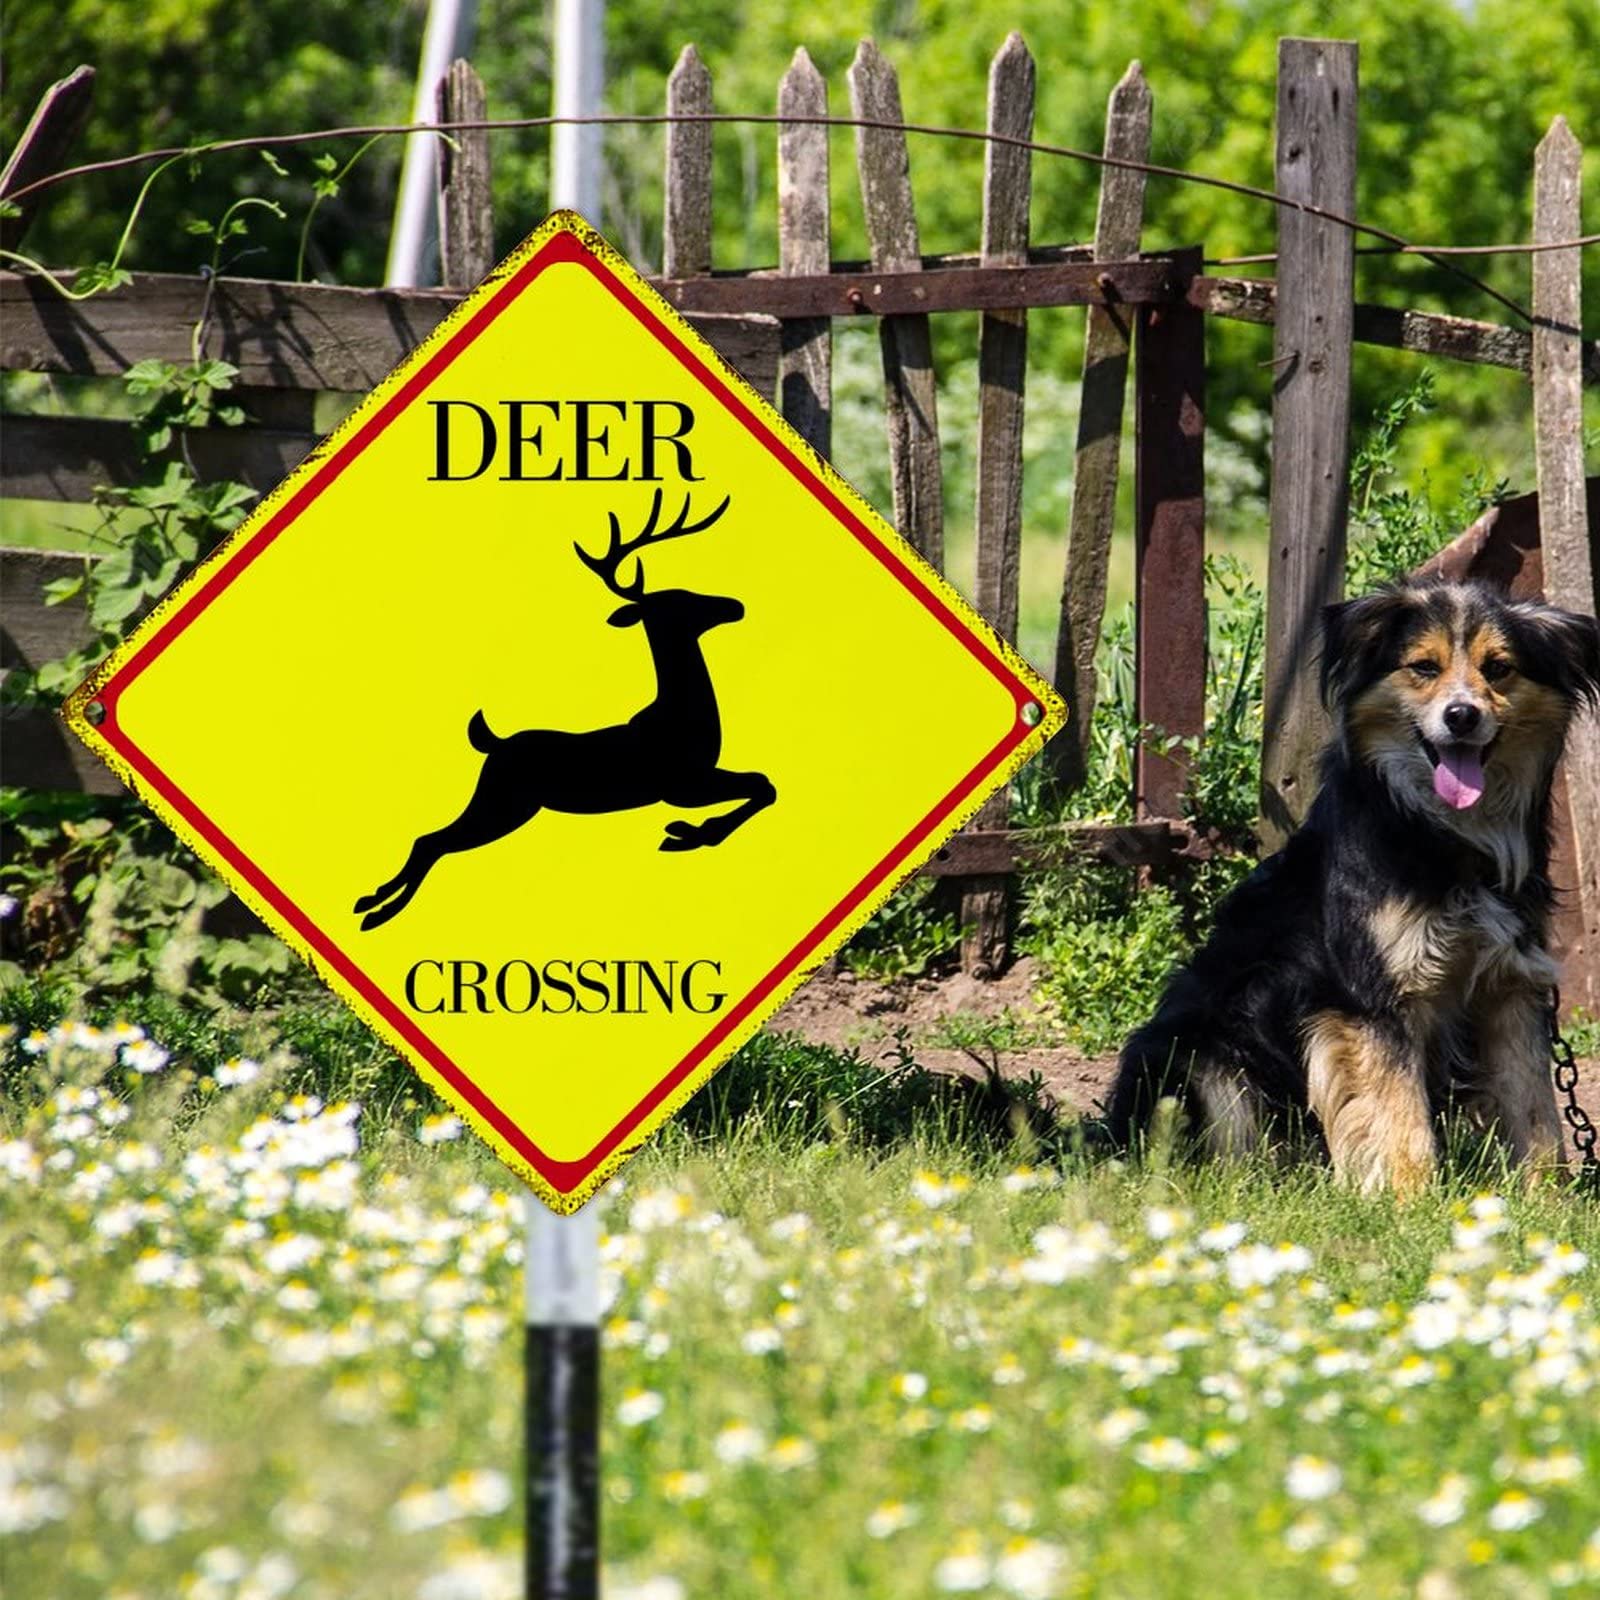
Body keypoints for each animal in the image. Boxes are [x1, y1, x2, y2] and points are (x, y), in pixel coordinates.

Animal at [353, 490, 775, 932]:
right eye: (682, 599)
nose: (734, 605)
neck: (684, 716)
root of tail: (493, 745)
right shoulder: (681, 784)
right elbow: (763, 784)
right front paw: (688, 834)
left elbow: (763, 784)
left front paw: (685, 834)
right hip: (503, 803)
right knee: (432, 841)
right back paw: (378, 912)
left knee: (430, 840)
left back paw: (371, 902)